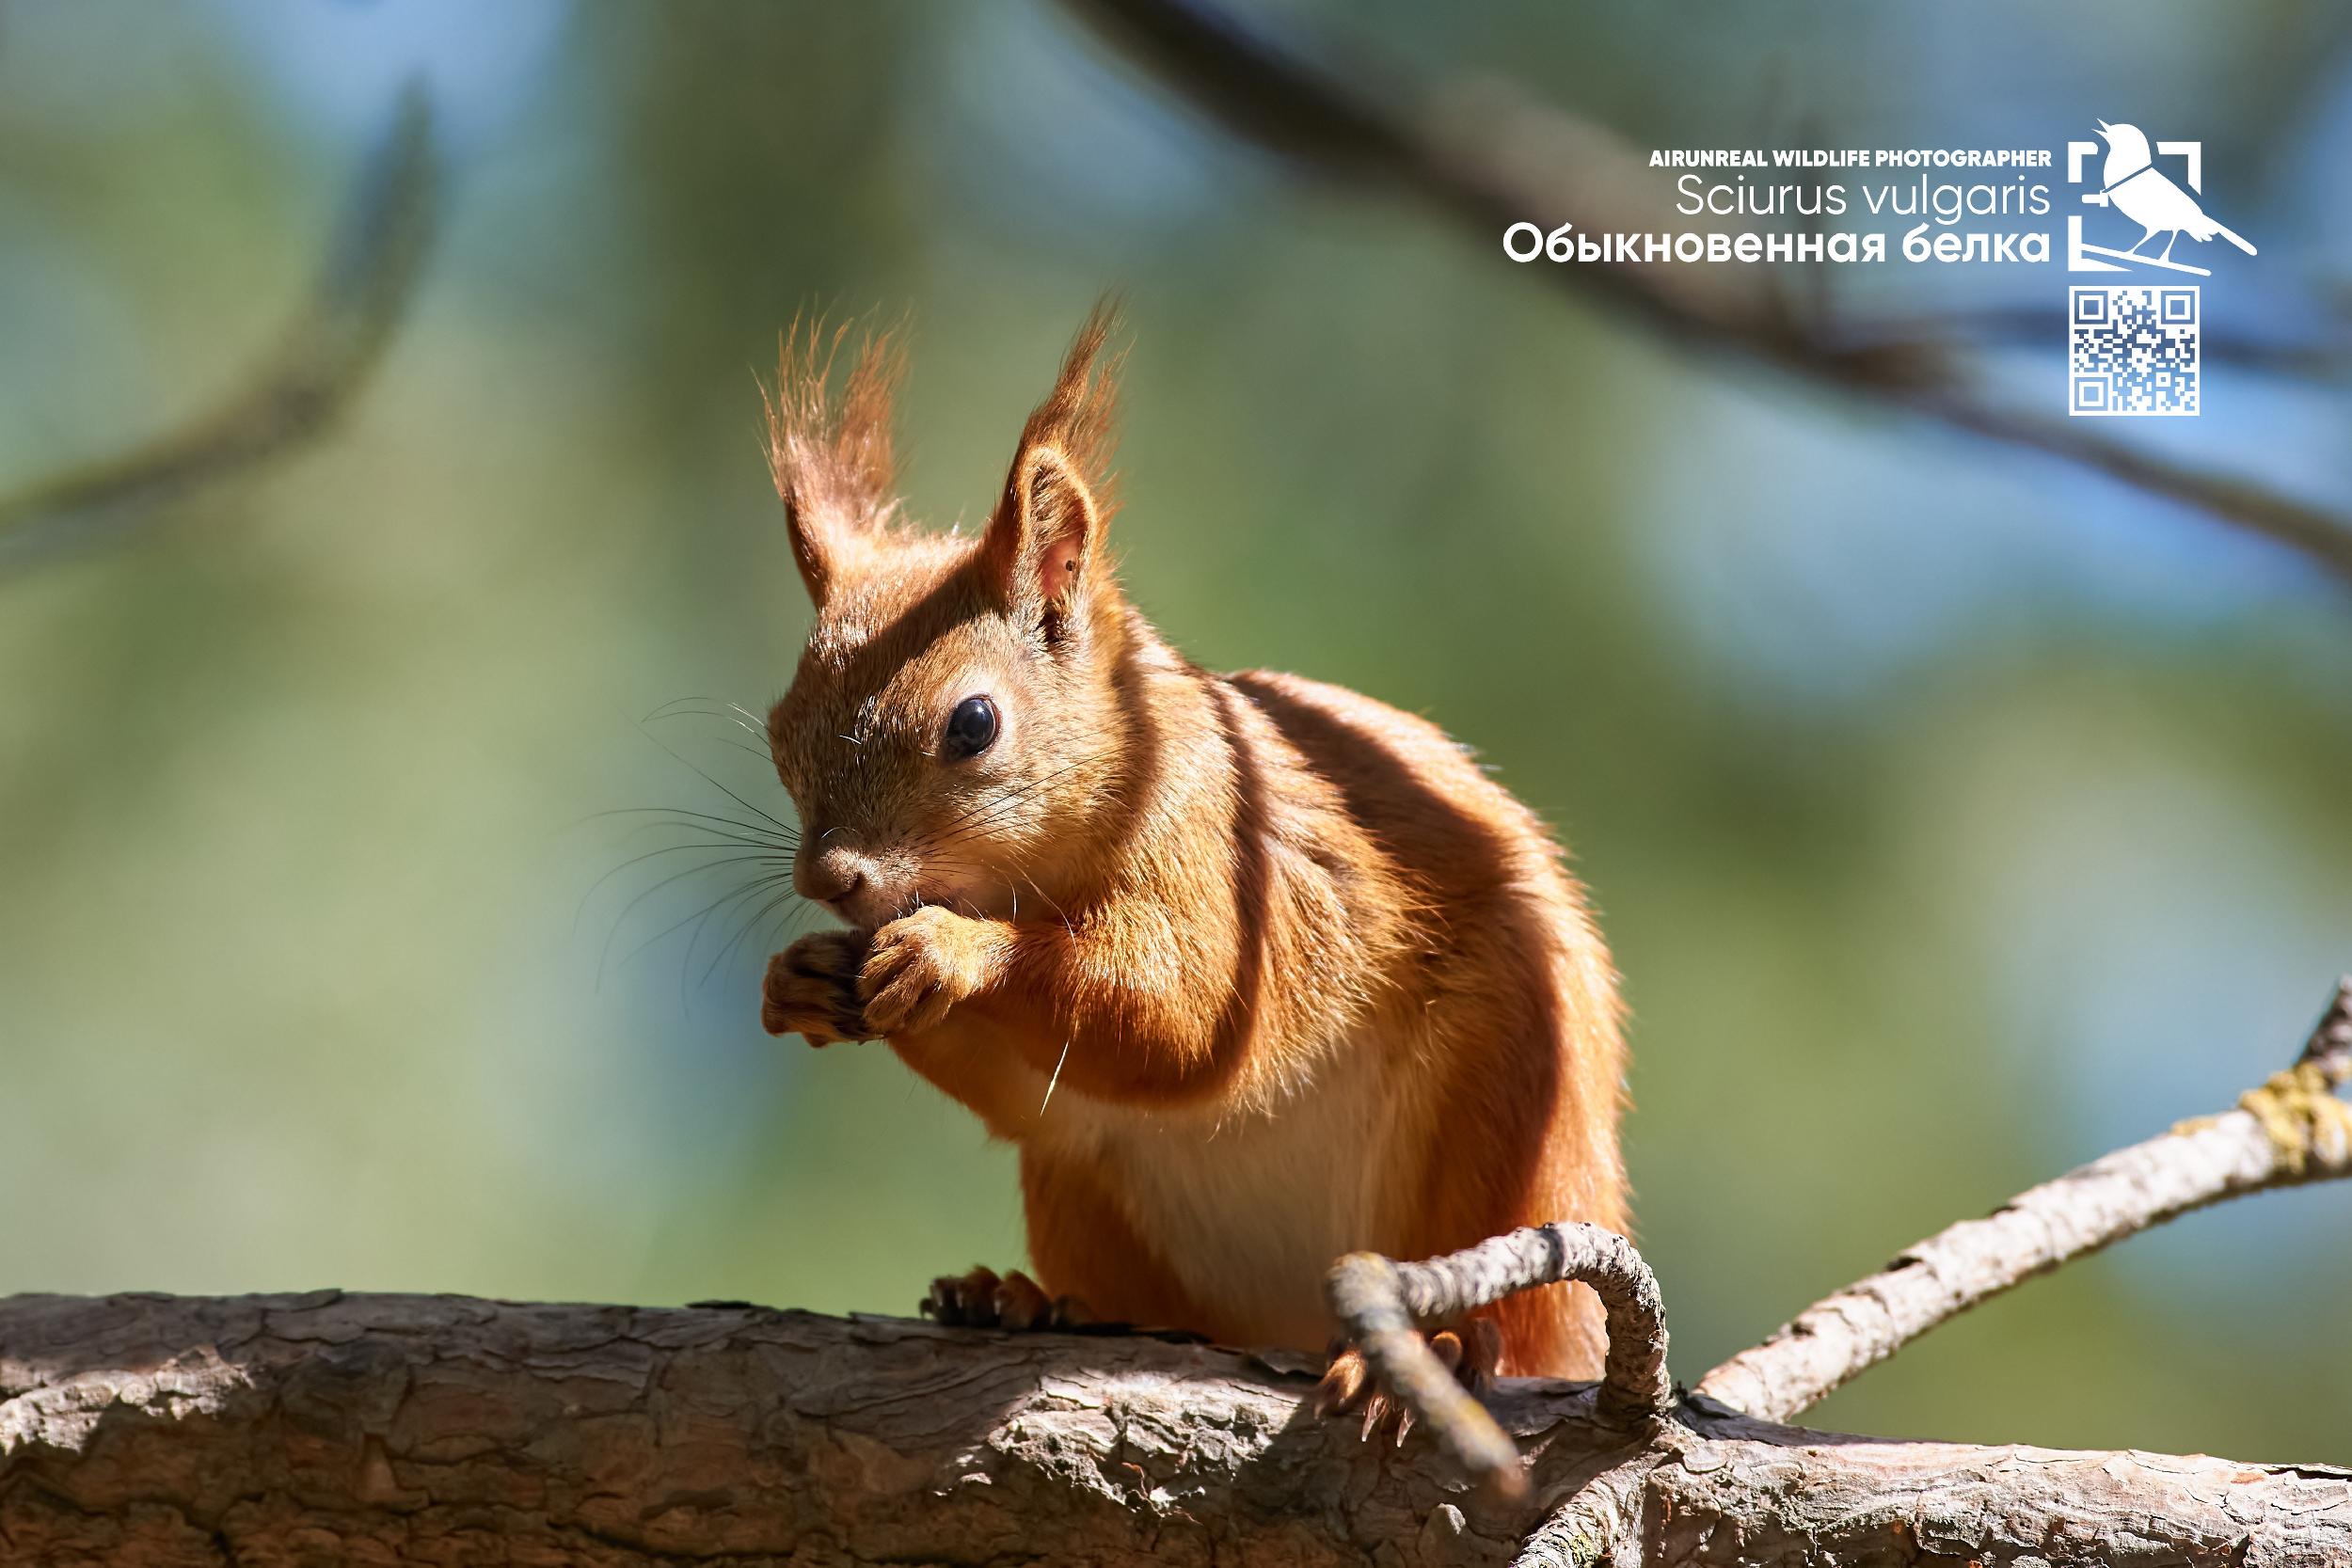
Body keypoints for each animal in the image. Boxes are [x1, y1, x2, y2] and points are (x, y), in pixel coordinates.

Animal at [757, 308, 1627, 1411]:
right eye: (779, 733)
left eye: (974, 723)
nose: (832, 881)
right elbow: (1037, 1089)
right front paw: (799, 978)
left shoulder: (1216, 856)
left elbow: (1176, 1020)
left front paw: (951, 952)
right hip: (1089, 1191)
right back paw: (1021, 1299)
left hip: (1504, 1122)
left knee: (1509, 1308)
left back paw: (1442, 1345)